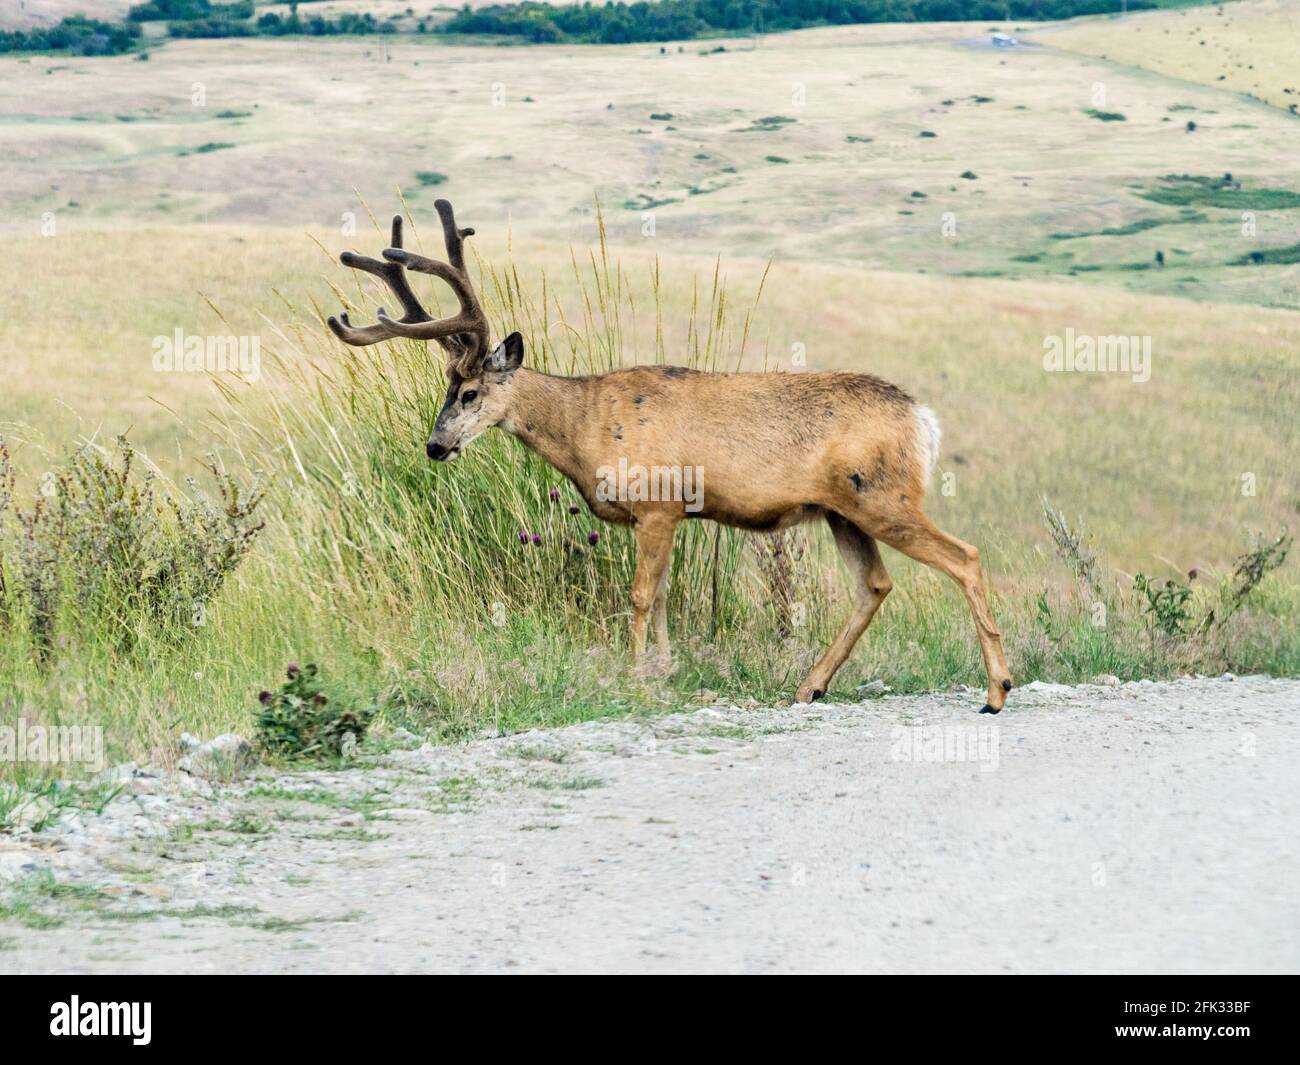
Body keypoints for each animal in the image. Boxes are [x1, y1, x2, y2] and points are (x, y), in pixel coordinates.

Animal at [328, 200, 1014, 713]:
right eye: (446, 390)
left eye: (470, 393)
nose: (435, 445)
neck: (584, 424)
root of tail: (922, 419)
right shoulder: (661, 516)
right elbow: (659, 598)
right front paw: (662, 671)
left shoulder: (659, 504)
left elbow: (638, 596)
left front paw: (635, 678)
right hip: (844, 509)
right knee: (875, 583)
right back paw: (810, 686)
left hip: (882, 493)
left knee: (965, 557)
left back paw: (997, 690)